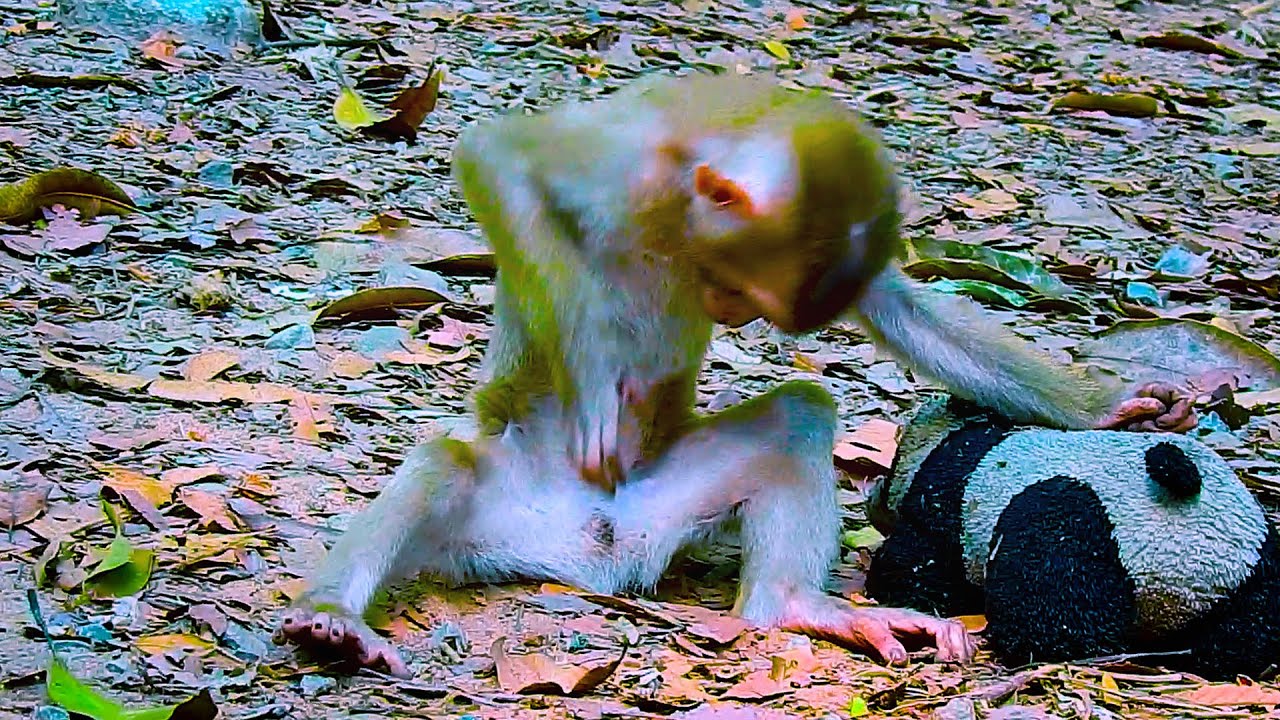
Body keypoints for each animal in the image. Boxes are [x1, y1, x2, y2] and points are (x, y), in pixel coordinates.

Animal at [274, 73, 1193, 677]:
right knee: (445, 464)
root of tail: (579, 557)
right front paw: (594, 367)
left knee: (799, 415)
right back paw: (332, 617)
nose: (740, 318)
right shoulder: (619, 156)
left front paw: (1108, 407)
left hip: (656, 514)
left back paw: (793, 605)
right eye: (730, 289)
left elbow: (898, 305)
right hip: (486, 519)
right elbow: (494, 155)